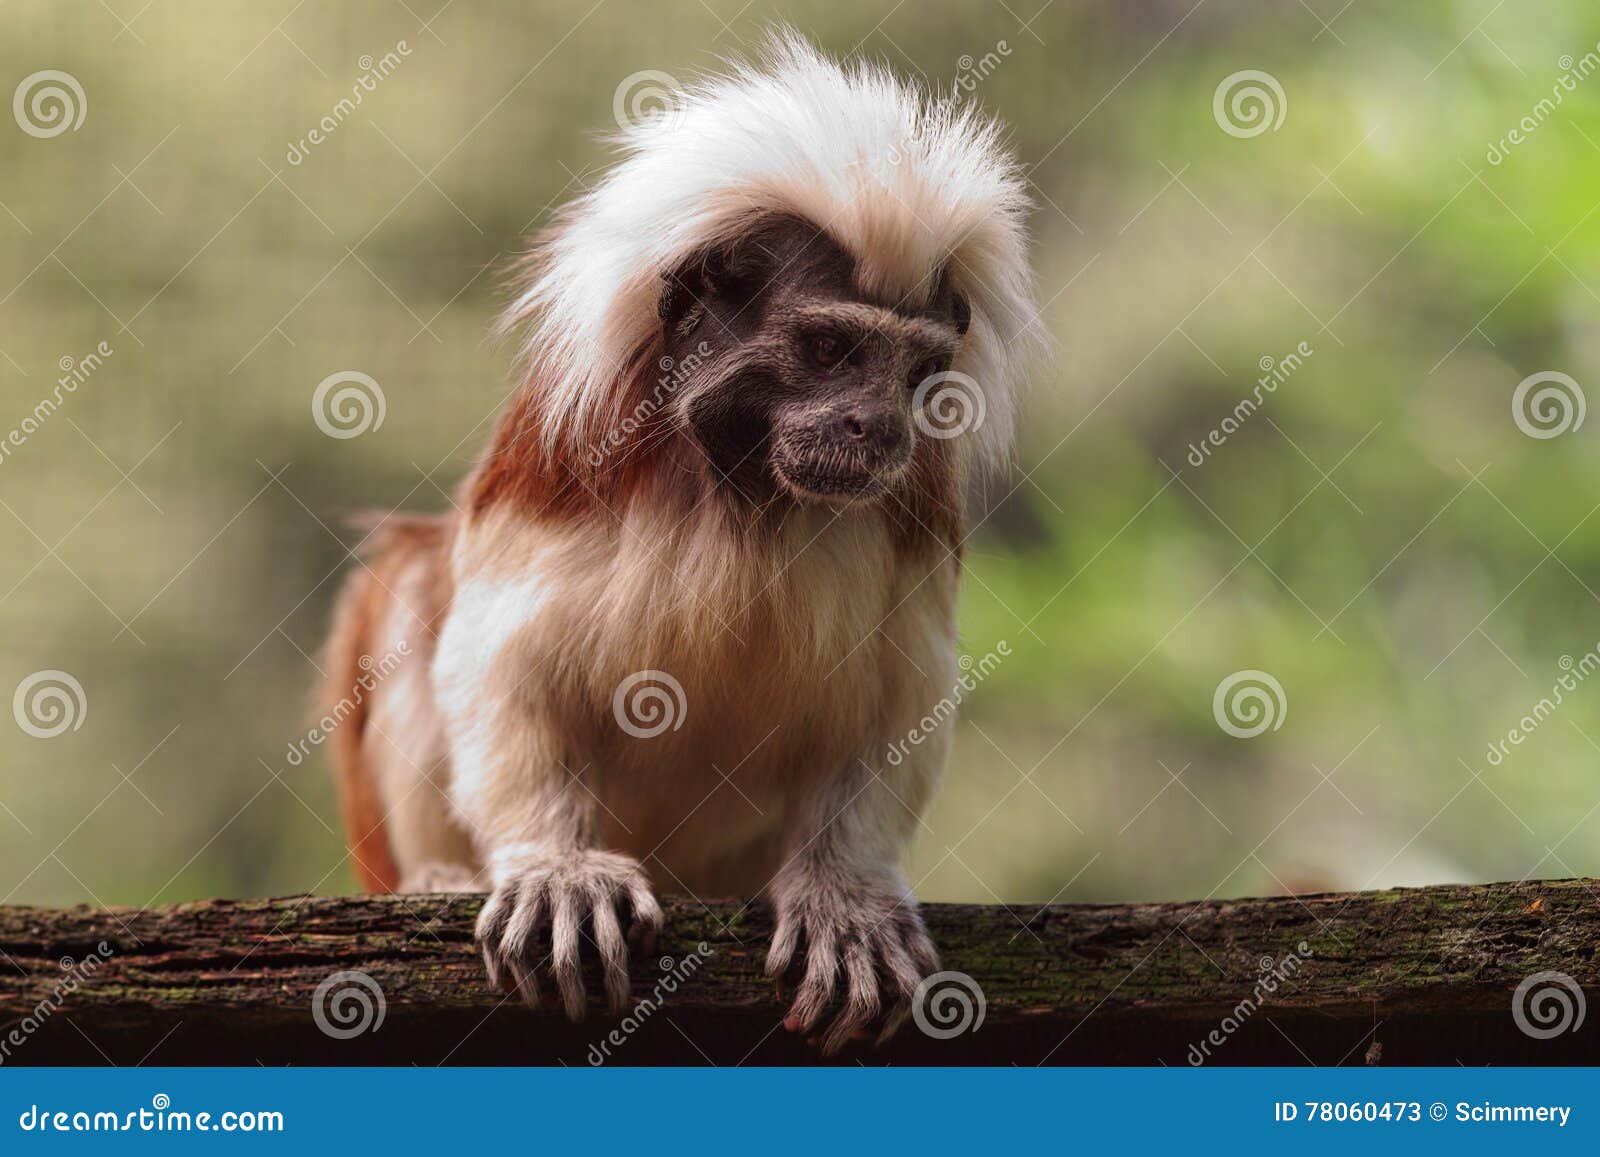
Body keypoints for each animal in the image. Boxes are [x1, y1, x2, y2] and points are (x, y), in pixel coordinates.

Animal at [321, 31, 1037, 1054]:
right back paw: (437, 879)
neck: (745, 488)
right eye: (829, 349)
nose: (876, 427)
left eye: (915, 371)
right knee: (414, 584)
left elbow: (897, 699)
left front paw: (846, 898)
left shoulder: (917, 505)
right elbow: (504, 664)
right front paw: (556, 871)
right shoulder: (566, 460)